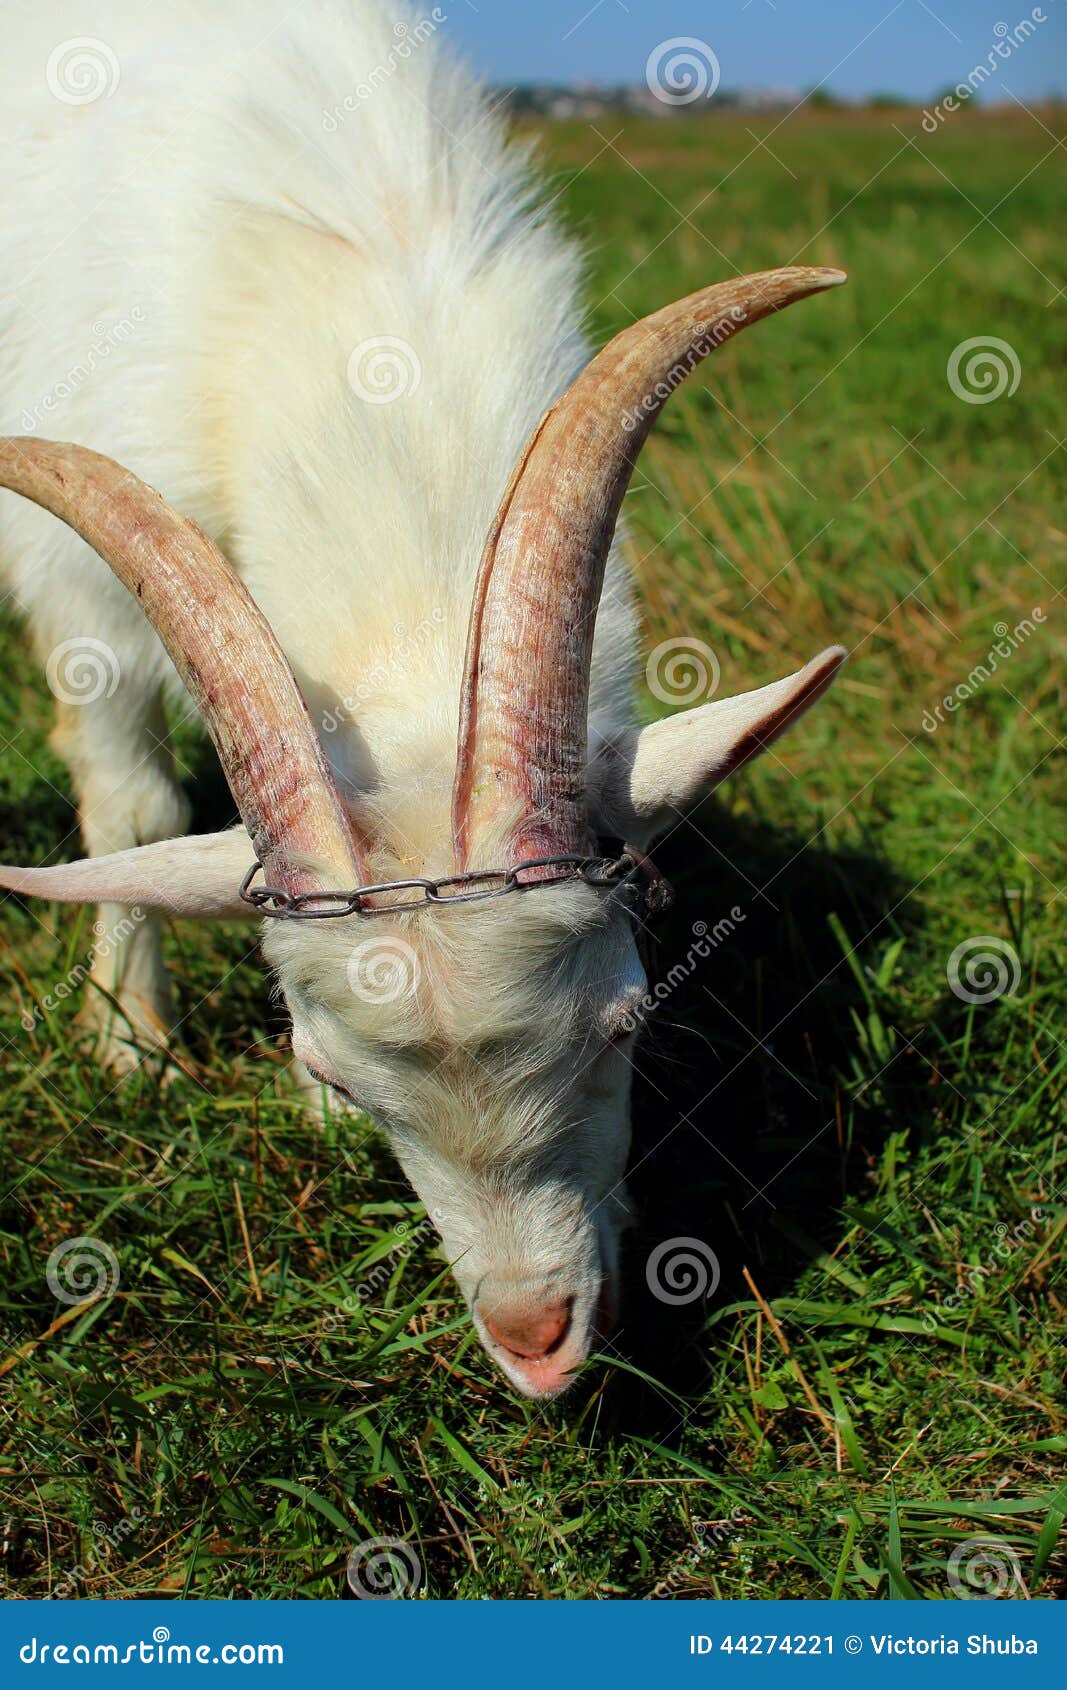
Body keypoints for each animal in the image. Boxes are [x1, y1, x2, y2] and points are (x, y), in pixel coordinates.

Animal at [0, 0, 846, 1397]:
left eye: (625, 1022)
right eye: (334, 1071)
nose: (538, 1344)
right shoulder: (80, 594)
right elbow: (129, 812)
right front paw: (131, 1045)